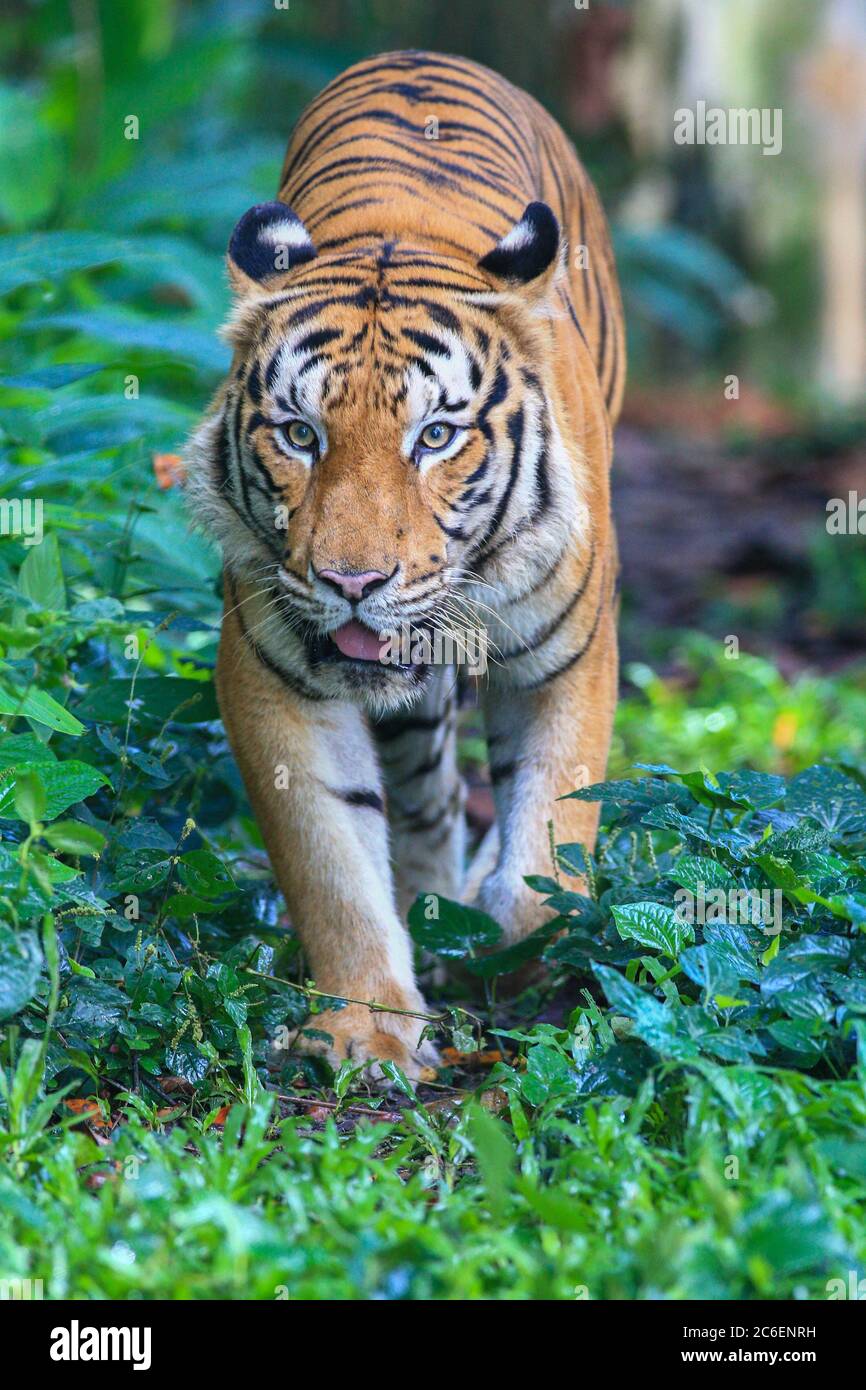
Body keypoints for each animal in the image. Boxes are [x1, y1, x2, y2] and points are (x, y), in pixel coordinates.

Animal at [186, 49, 625, 1080]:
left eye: (434, 437)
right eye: (300, 434)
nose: (352, 584)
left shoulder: (568, 659)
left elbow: (550, 842)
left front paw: (514, 959)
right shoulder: (274, 678)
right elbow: (333, 861)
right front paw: (370, 1027)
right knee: (427, 799)